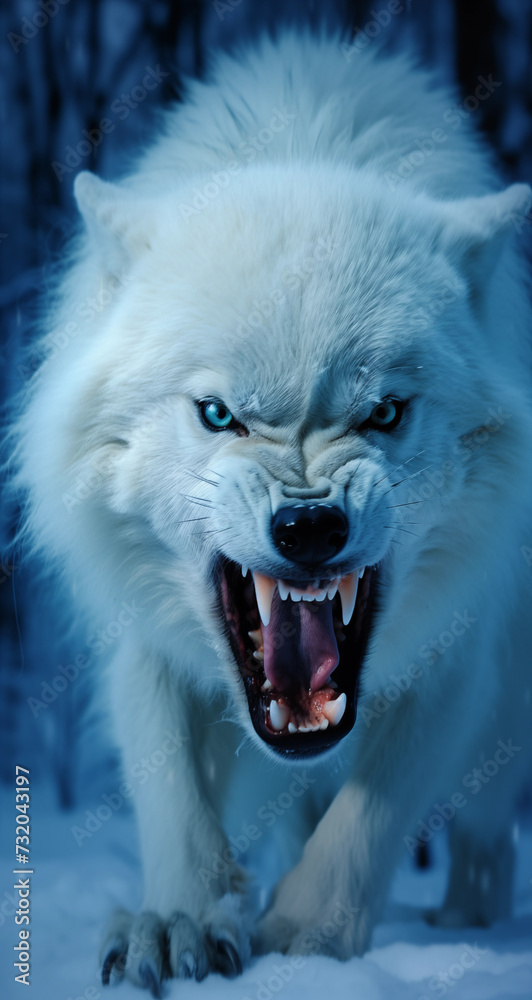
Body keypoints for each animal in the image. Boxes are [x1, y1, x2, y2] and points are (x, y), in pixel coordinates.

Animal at [12, 31, 532, 995]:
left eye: (384, 413)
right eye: (220, 415)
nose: (310, 526)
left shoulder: (458, 656)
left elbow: (366, 822)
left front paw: (302, 947)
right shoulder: (142, 640)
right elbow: (173, 797)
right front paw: (177, 924)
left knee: (485, 833)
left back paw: (466, 919)